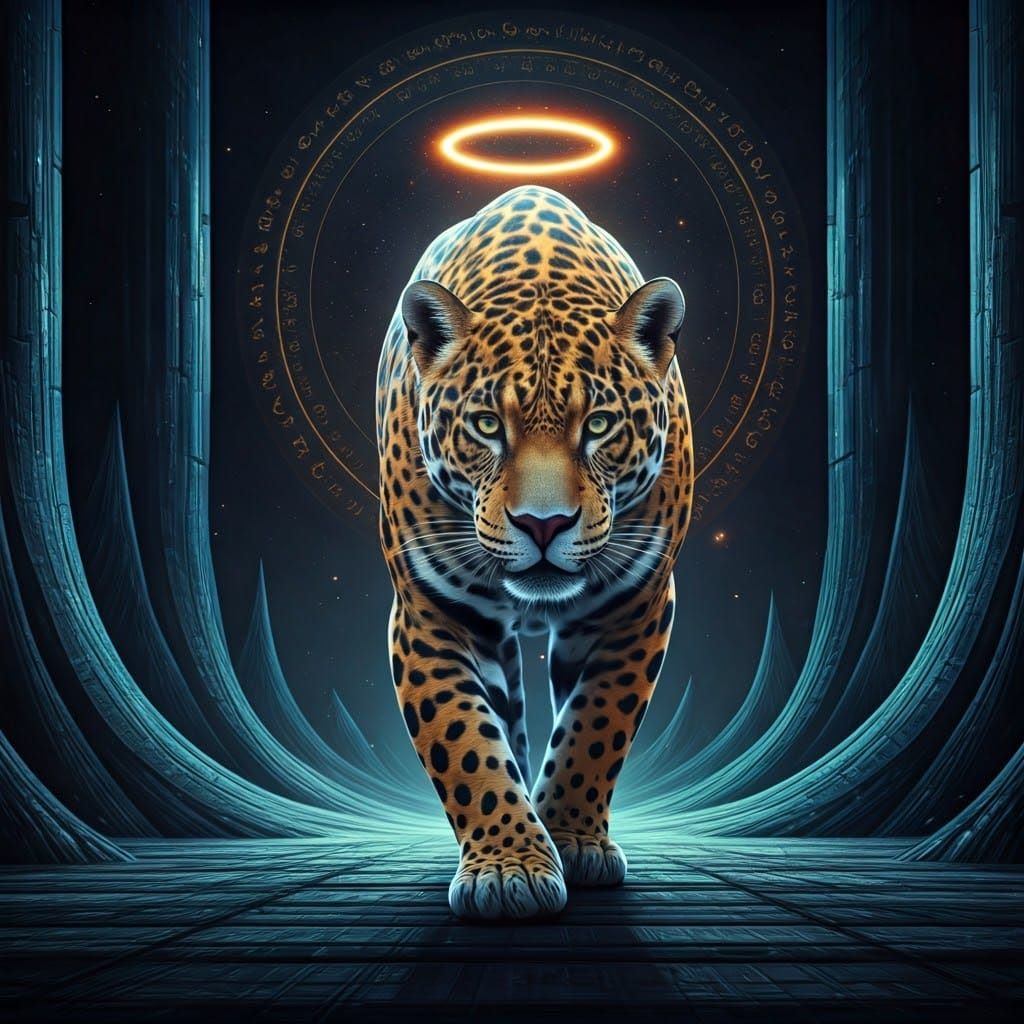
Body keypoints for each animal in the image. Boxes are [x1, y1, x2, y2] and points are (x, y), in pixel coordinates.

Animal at [376, 184, 692, 920]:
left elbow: (595, 730)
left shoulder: (635, 607)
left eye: (598, 425)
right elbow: (464, 743)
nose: (541, 525)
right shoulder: (432, 614)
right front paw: (509, 867)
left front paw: (571, 838)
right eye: (487, 425)